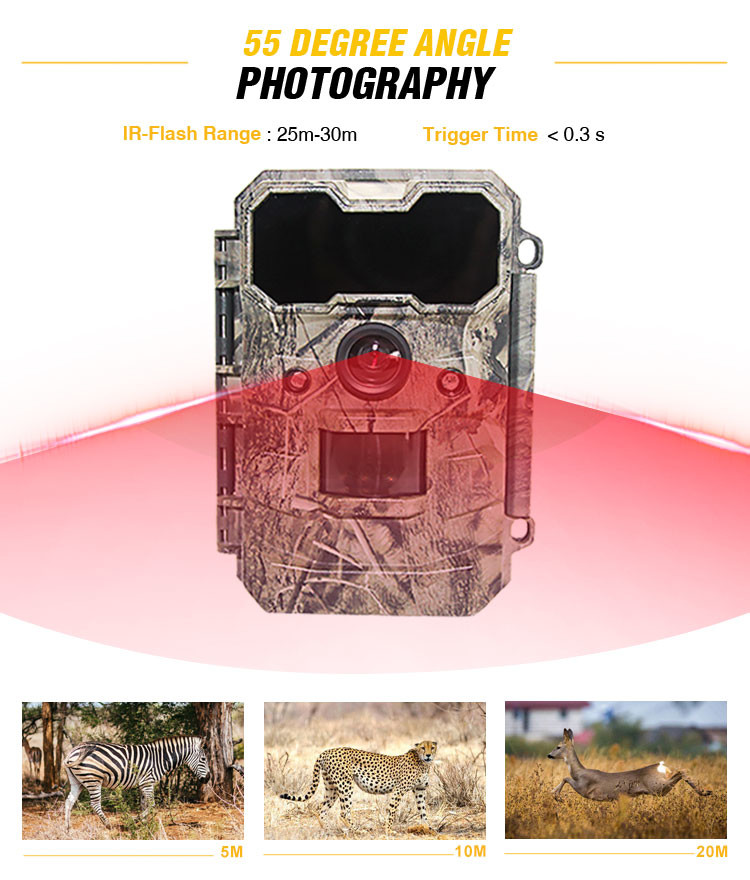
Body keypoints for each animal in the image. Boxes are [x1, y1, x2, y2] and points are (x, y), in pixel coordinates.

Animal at [547, 728, 712, 801]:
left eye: (558, 747)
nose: (549, 755)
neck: (578, 771)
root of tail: (662, 766)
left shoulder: (584, 788)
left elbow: (565, 778)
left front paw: (556, 795)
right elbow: (565, 778)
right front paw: (554, 794)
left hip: (657, 787)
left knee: (681, 771)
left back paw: (703, 791)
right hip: (660, 788)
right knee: (679, 772)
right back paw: (706, 791)